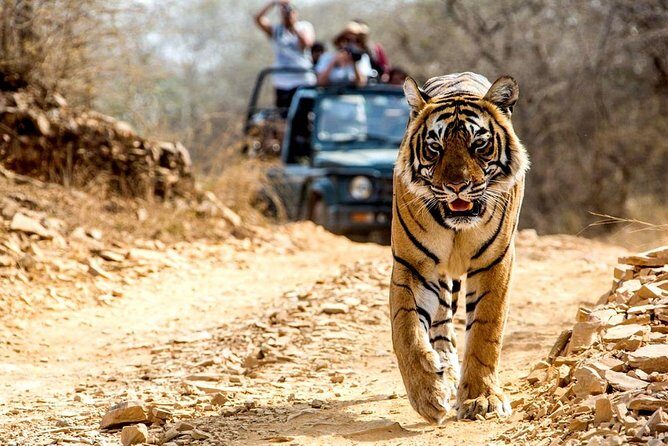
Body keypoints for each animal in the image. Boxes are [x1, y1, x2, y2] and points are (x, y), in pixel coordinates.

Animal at [390, 72, 529, 423]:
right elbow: (406, 330)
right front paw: (428, 394)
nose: (456, 186)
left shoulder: (495, 263)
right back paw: (445, 371)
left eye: (478, 144)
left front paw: (482, 399)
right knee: (440, 324)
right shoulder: (413, 265)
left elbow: (485, 332)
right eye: (435, 148)